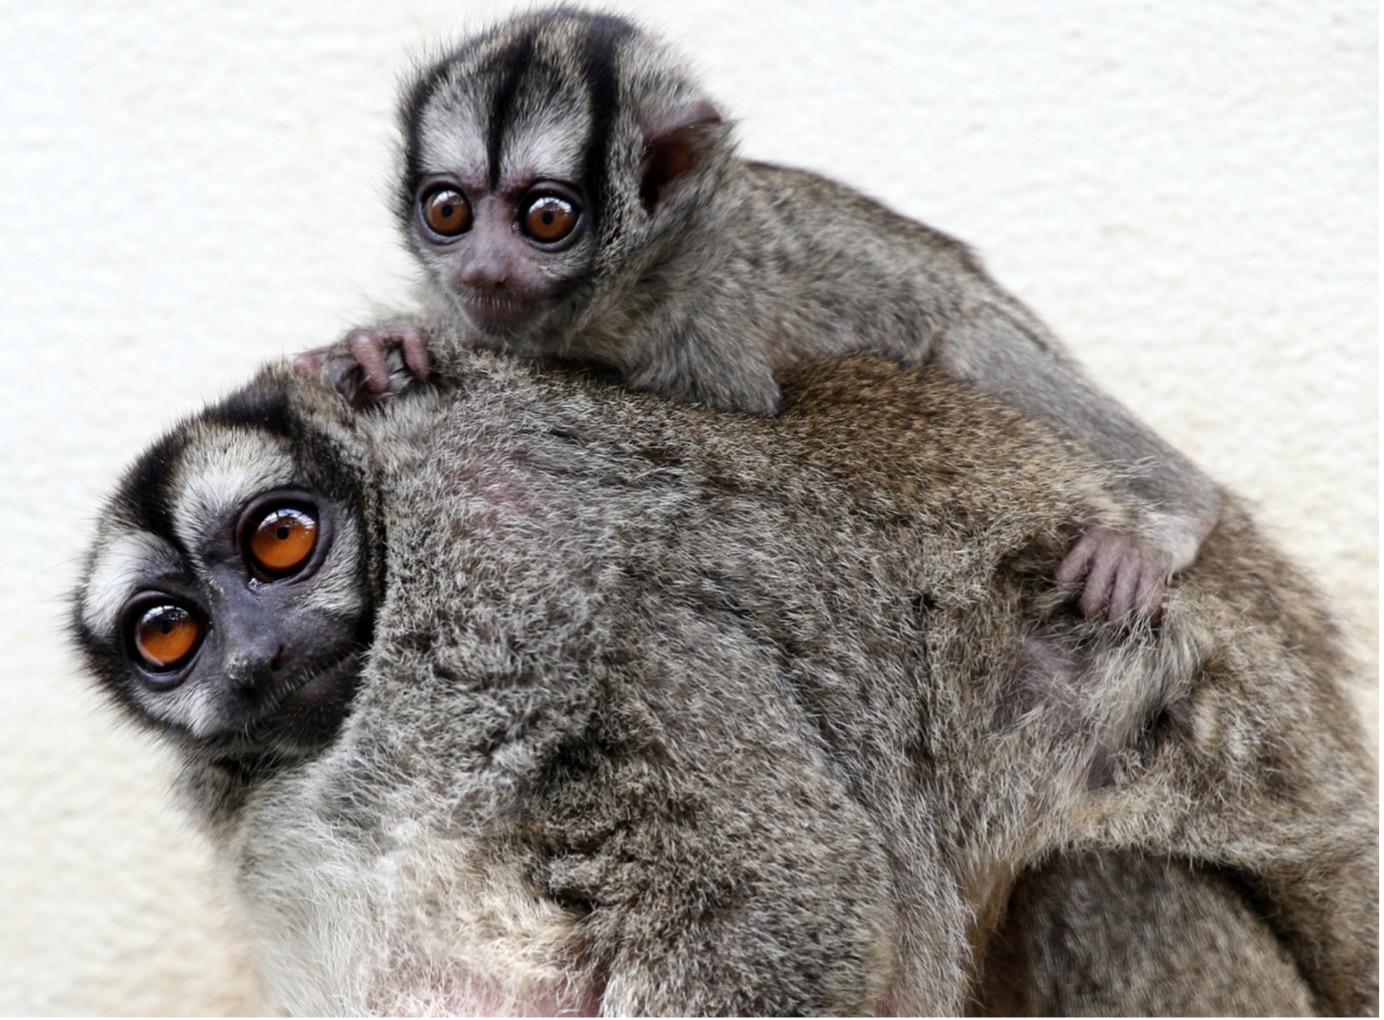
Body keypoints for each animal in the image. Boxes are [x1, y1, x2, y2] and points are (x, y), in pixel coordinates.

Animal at [74, 343, 1375, 1015]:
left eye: (280, 540)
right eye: (166, 635)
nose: (254, 651)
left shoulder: (559, 605)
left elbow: (789, 904)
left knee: (1101, 887)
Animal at [304, 5, 1224, 626]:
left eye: (546, 219)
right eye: (449, 211)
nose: (485, 269)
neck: (628, 284)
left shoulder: (708, 316)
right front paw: (386, 341)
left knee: (968, 334)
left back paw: (1178, 511)